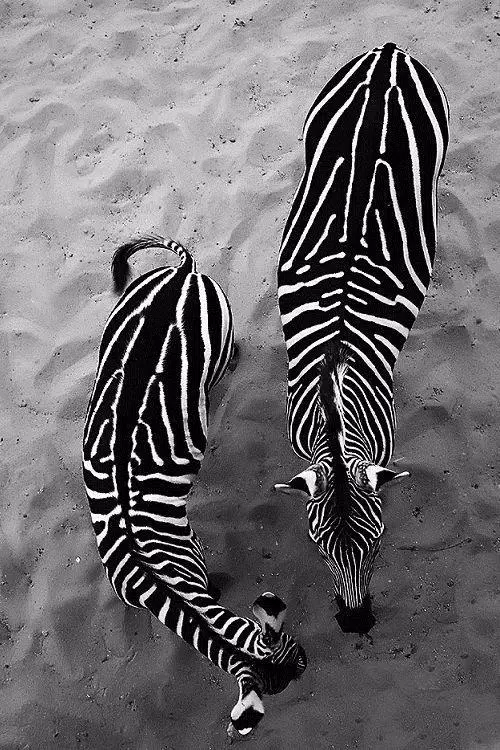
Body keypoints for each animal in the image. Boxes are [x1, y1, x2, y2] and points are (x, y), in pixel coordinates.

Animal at [82, 236, 306, 736]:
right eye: (296, 668)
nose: (308, 663)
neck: (155, 577)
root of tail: (181, 272)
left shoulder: (192, 554)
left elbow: (212, 591)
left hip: (218, 345)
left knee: (230, 357)